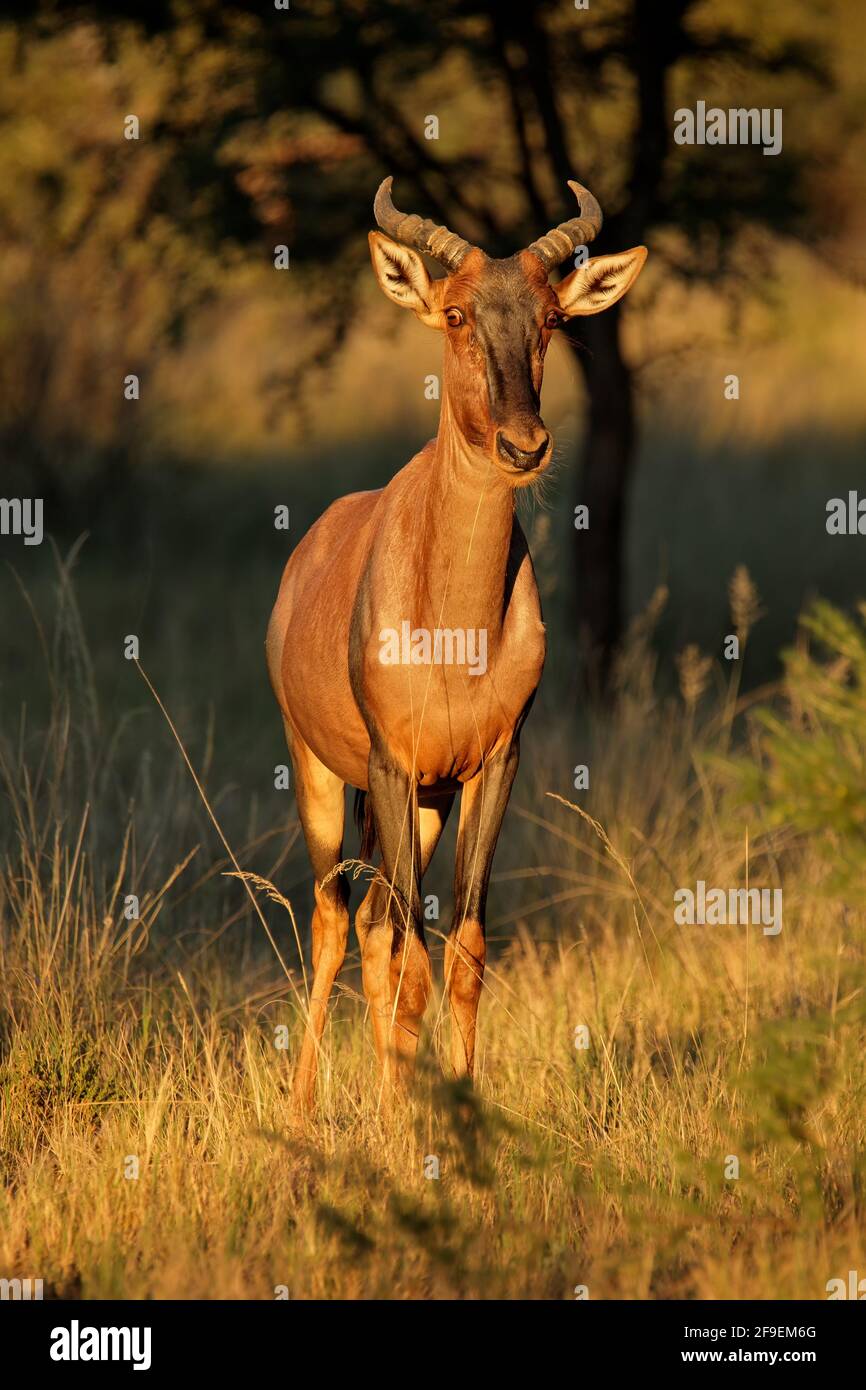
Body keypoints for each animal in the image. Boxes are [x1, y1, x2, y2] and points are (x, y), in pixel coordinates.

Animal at [266, 177, 646, 1112]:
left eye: (551, 317)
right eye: (455, 314)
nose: (524, 445)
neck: (455, 630)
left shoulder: (494, 763)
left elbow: (463, 946)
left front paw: (452, 1106)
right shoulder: (392, 763)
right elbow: (408, 957)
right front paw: (404, 1125)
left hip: (427, 805)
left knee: (374, 924)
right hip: (325, 774)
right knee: (335, 920)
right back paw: (305, 1108)